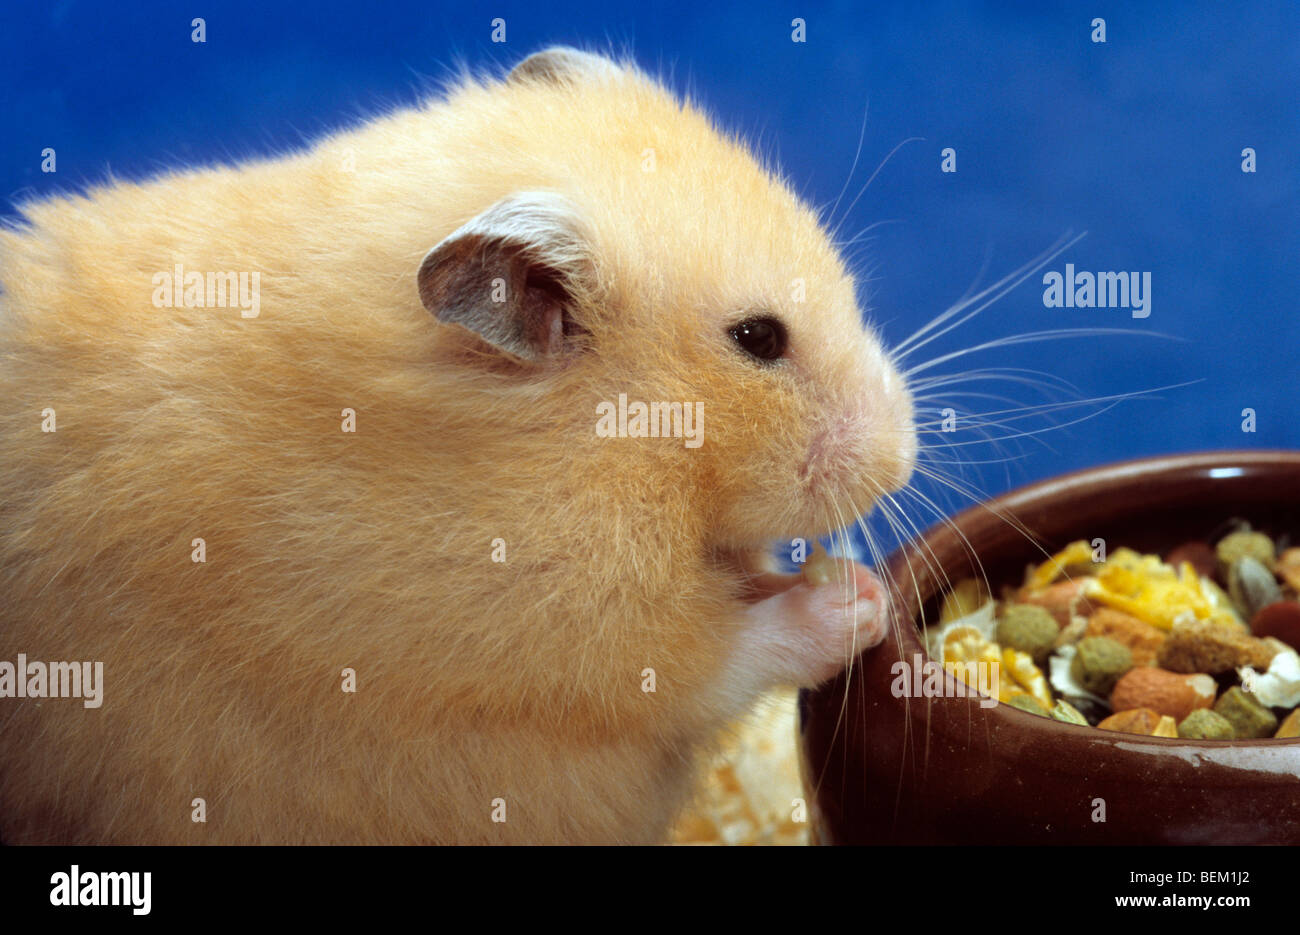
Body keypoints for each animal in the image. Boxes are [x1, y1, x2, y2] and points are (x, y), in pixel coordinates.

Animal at [0, 47, 916, 844]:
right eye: (757, 338)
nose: (905, 452)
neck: (597, 447)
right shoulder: (572, 638)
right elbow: (725, 655)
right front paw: (860, 600)